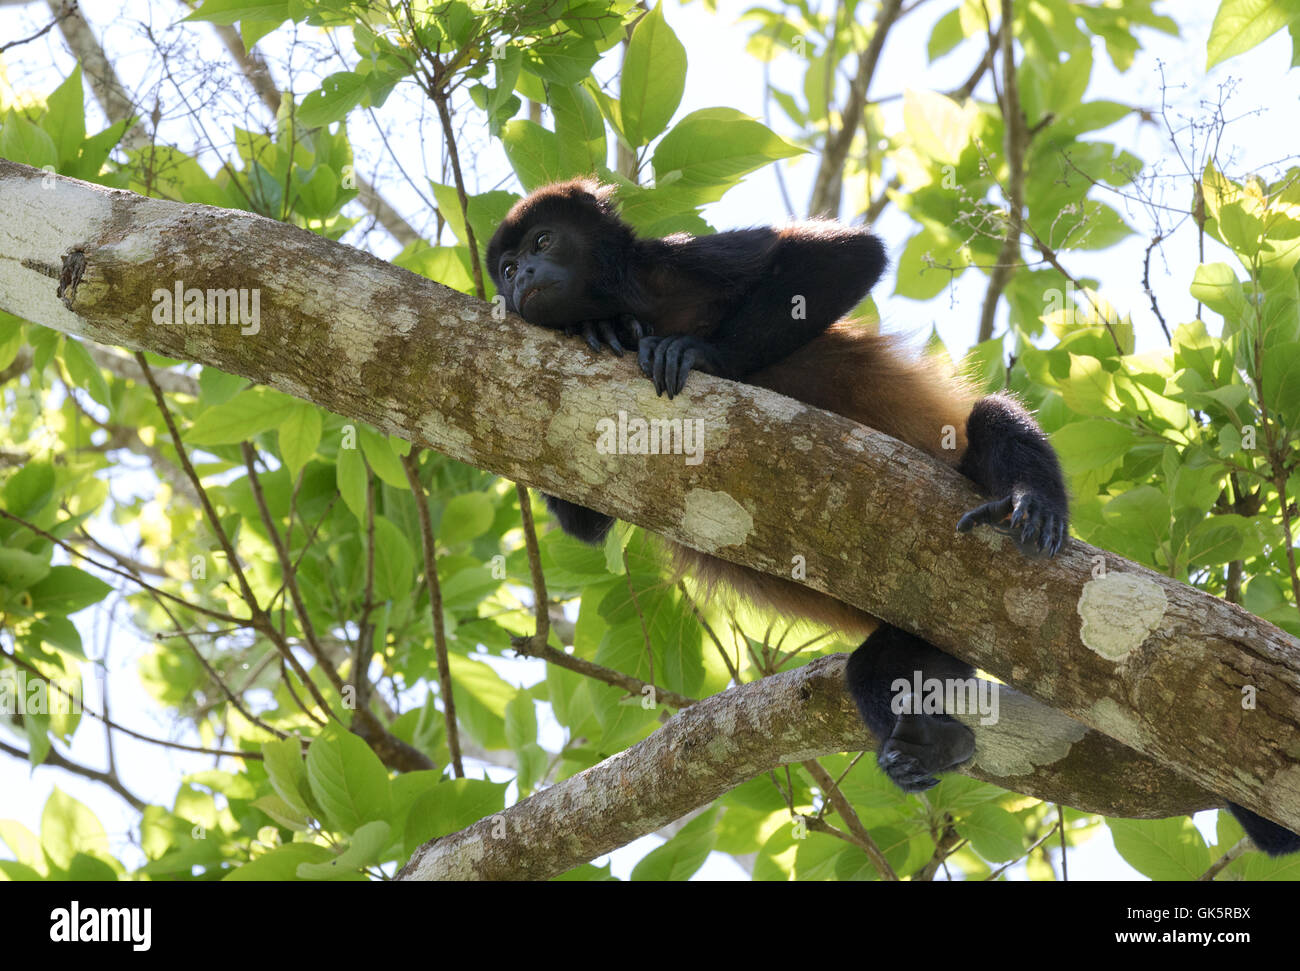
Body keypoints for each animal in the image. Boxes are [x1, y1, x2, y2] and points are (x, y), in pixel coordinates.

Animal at [486, 177, 1300, 858]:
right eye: (504, 268)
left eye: (543, 242)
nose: (520, 279)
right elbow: (587, 523)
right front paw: (601, 332)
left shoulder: (679, 259)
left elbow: (848, 256)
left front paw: (701, 350)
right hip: (928, 635)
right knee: (873, 671)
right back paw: (931, 747)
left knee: (990, 417)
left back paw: (1031, 503)